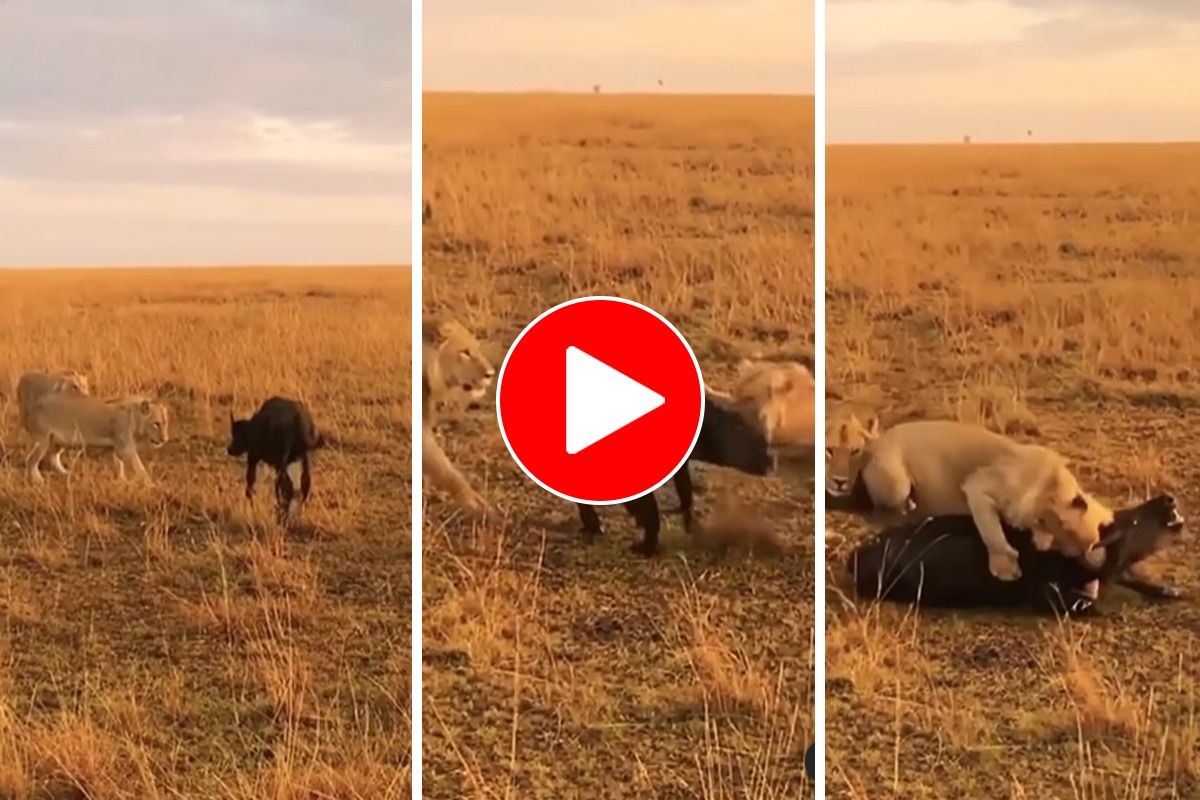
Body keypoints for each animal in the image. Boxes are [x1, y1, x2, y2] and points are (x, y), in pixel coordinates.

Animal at [24, 393, 169, 483]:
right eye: (156, 424)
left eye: (165, 423)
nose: (164, 439)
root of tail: (32, 407)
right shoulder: (125, 448)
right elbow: (140, 469)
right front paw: (151, 486)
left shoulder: (116, 447)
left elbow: (119, 465)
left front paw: (121, 480)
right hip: (42, 440)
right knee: (31, 460)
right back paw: (38, 480)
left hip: (57, 442)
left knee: (53, 457)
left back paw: (67, 473)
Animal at [858, 420, 1113, 581]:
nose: (1097, 565)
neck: (1051, 489)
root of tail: (875, 442)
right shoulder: (979, 489)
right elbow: (993, 534)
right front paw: (1006, 569)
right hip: (896, 484)